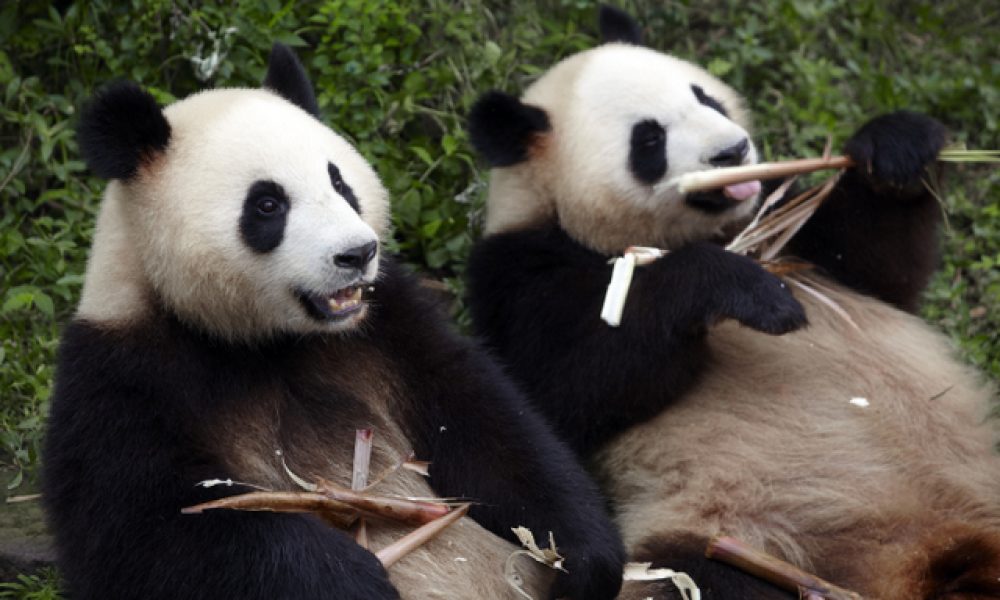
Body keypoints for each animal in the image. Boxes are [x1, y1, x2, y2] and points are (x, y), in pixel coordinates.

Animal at [42, 44, 626, 600]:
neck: (264, 340)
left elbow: (487, 427)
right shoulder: (122, 380)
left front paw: (581, 559)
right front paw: (354, 579)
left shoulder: (391, 327)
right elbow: (156, 534)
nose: (357, 253)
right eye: (267, 204)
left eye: (340, 182)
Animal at [465, 6, 1000, 599]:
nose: (733, 152)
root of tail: (920, 560)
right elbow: (569, 388)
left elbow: (879, 268)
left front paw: (895, 148)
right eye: (648, 140)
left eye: (705, 97)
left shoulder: (786, 231)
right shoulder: (517, 276)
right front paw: (748, 293)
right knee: (699, 573)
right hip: (751, 534)